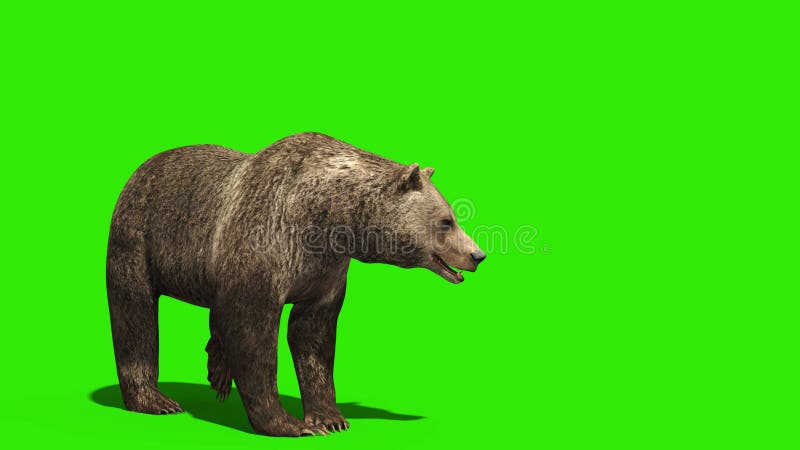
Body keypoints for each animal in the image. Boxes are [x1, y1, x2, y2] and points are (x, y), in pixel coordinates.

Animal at [106, 132, 486, 437]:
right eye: (447, 221)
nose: (477, 255)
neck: (329, 217)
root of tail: (140, 167)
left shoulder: (325, 270)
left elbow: (312, 335)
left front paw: (330, 418)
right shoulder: (265, 241)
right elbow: (254, 334)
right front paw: (290, 423)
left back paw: (217, 372)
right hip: (137, 236)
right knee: (135, 315)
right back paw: (156, 400)